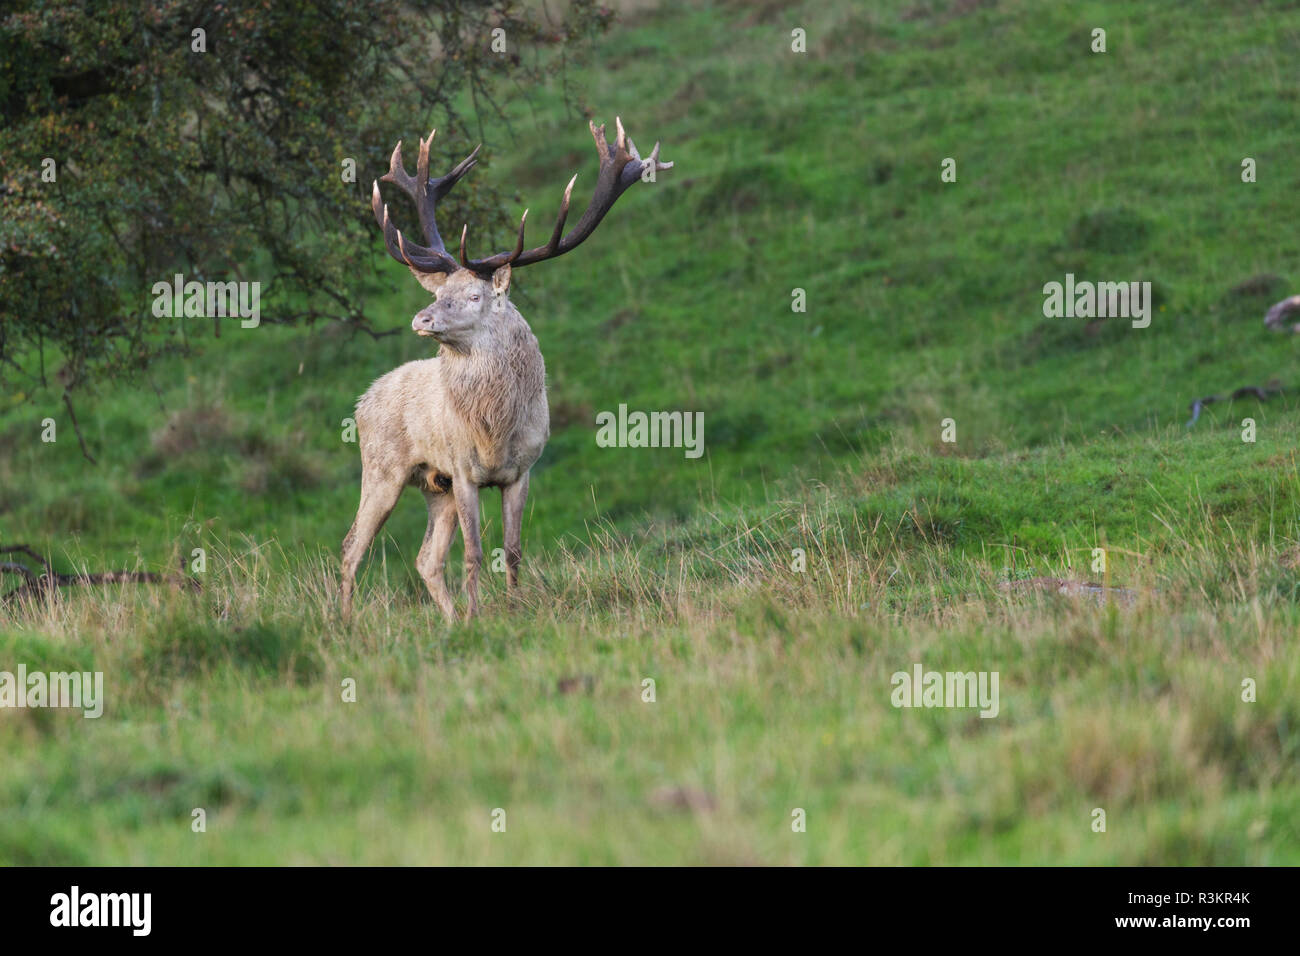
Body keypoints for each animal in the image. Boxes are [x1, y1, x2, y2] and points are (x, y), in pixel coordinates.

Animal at [340, 116, 673, 622]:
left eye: (474, 295)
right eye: (439, 293)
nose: (422, 318)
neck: (495, 429)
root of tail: (363, 400)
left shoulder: (522, 469)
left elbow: (512, 550)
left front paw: (513, 609)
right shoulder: (463, 470)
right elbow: (475, 553)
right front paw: (478, 616)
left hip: (433, 485)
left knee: (424, 559)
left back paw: (446, 621)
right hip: (382, 467)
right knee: (352, 546)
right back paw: (339, 621)